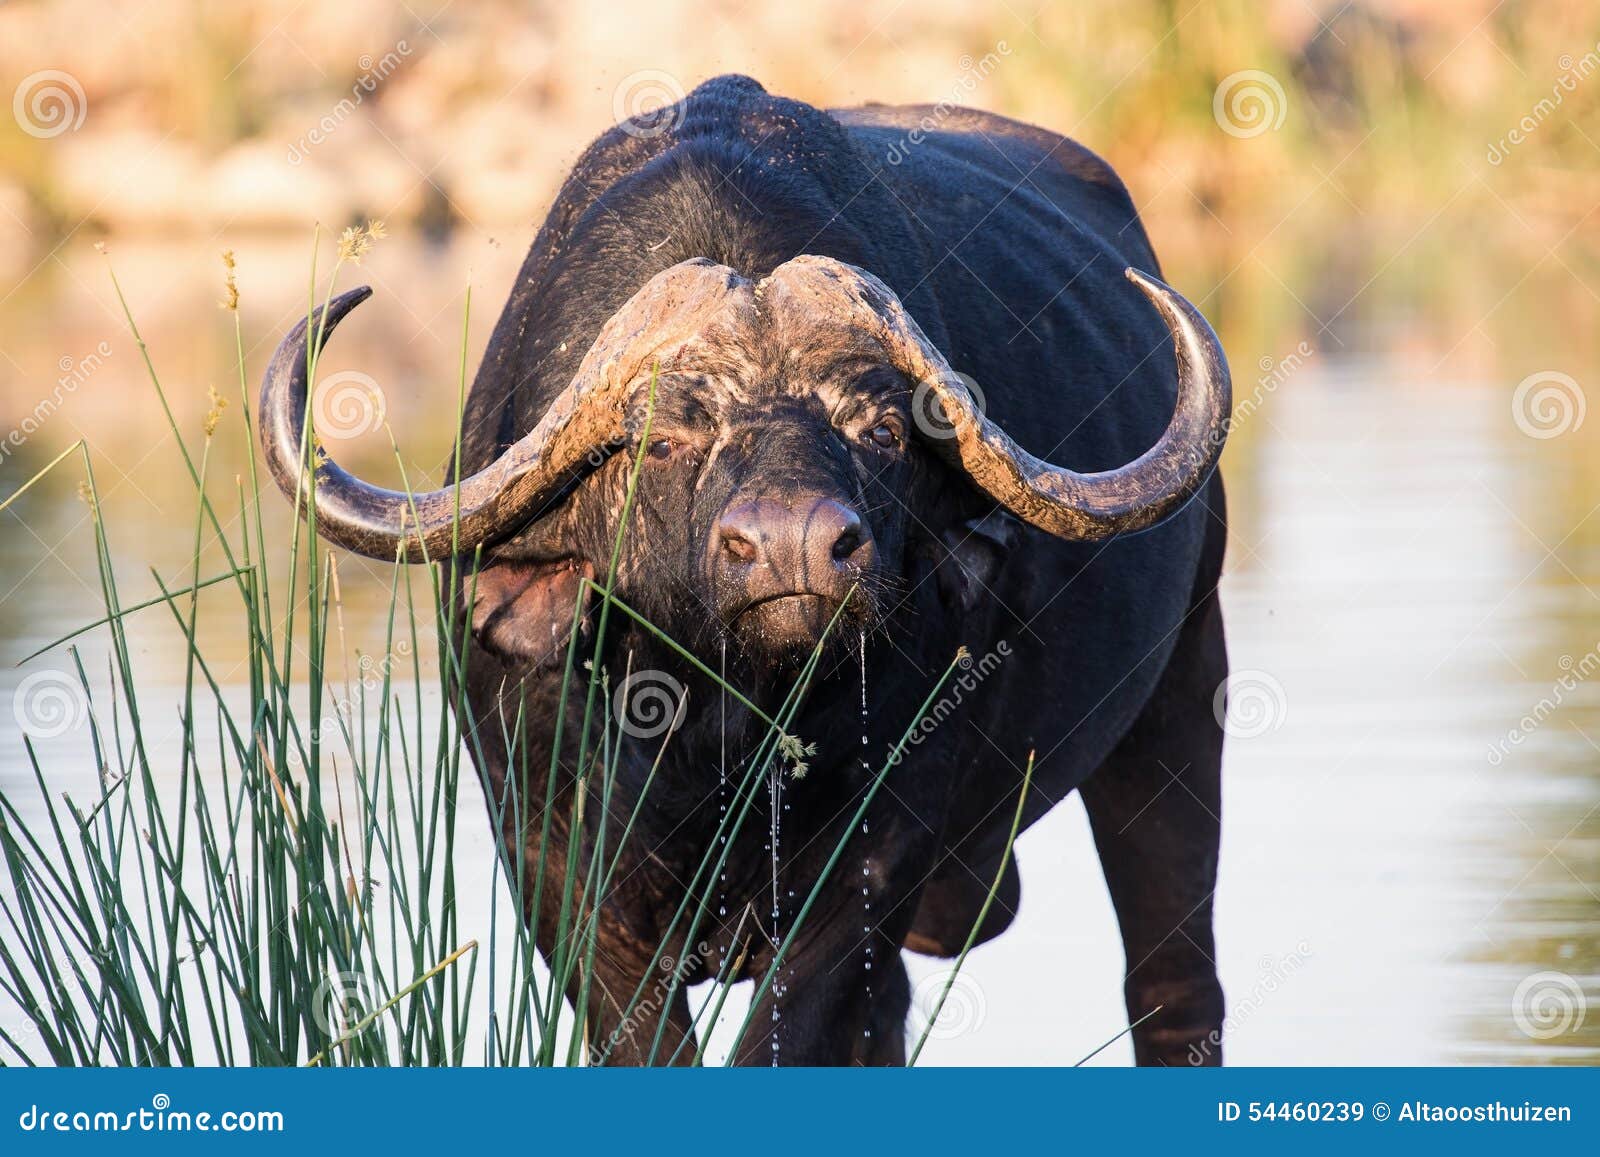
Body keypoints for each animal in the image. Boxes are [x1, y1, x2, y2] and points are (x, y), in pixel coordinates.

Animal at [259, 74, 1232, 1066]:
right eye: (662, 437)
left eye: (882, 428)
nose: (794, 543)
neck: (722, 728)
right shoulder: (556, 877)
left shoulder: (873, 865)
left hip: (1184, 692)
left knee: (1172, 982)